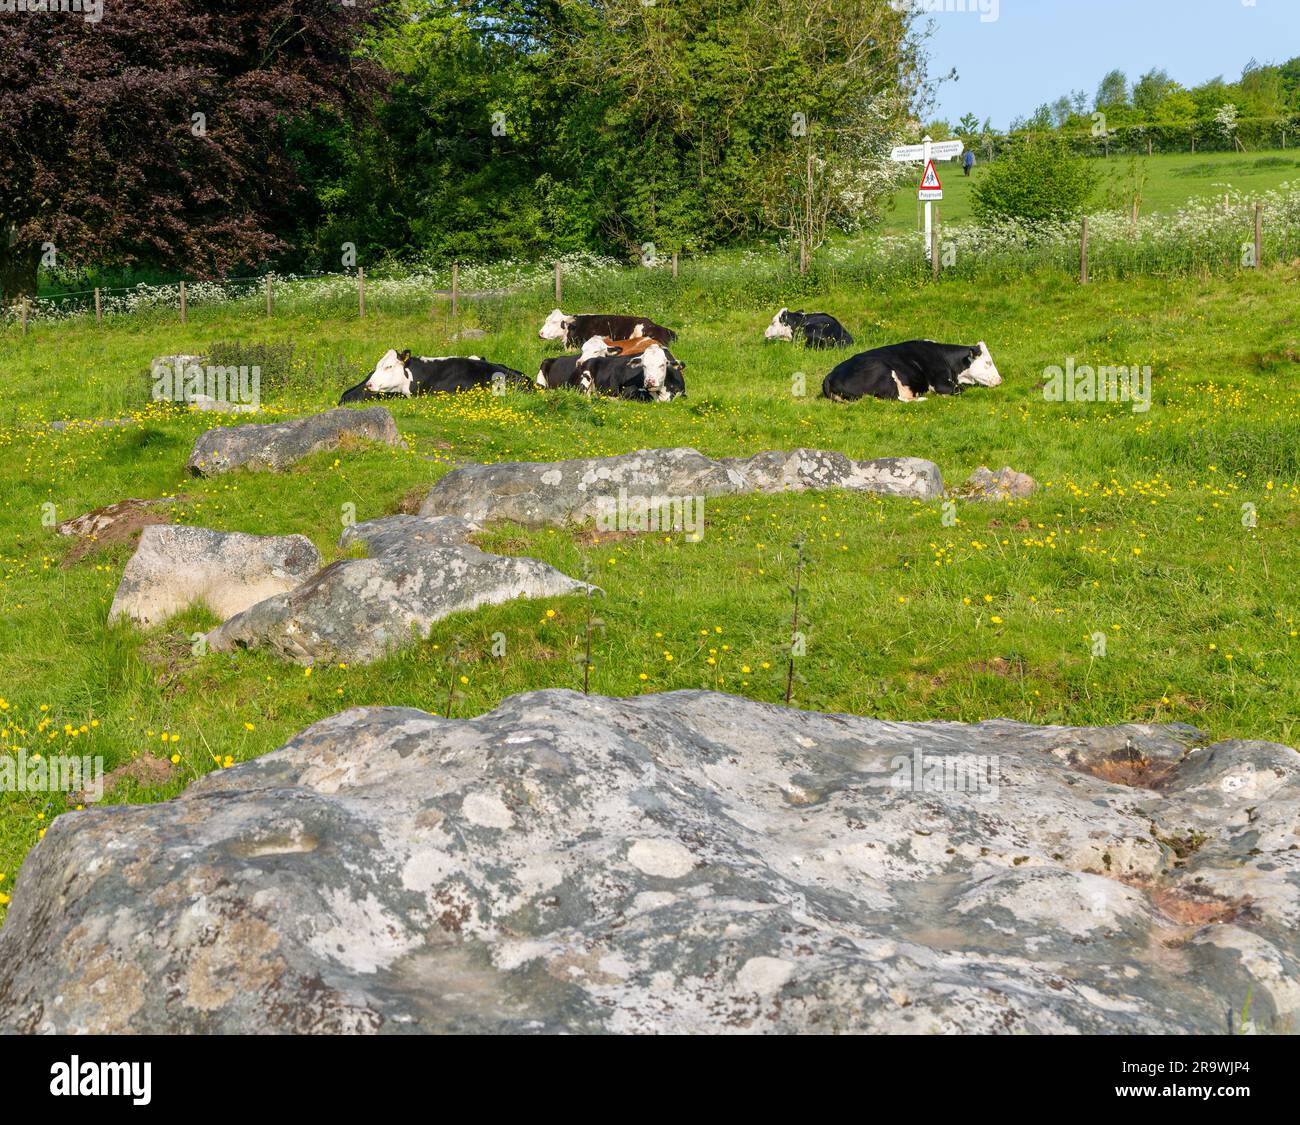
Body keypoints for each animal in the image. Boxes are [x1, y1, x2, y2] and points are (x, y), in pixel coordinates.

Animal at [821, 341, 1002, 403]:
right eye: (988, 362)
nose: (1000, 380)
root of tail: (830, 375)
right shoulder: (941, 383)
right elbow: (959, 389)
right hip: (882, 372)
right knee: (896, 398)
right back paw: (922, 398)